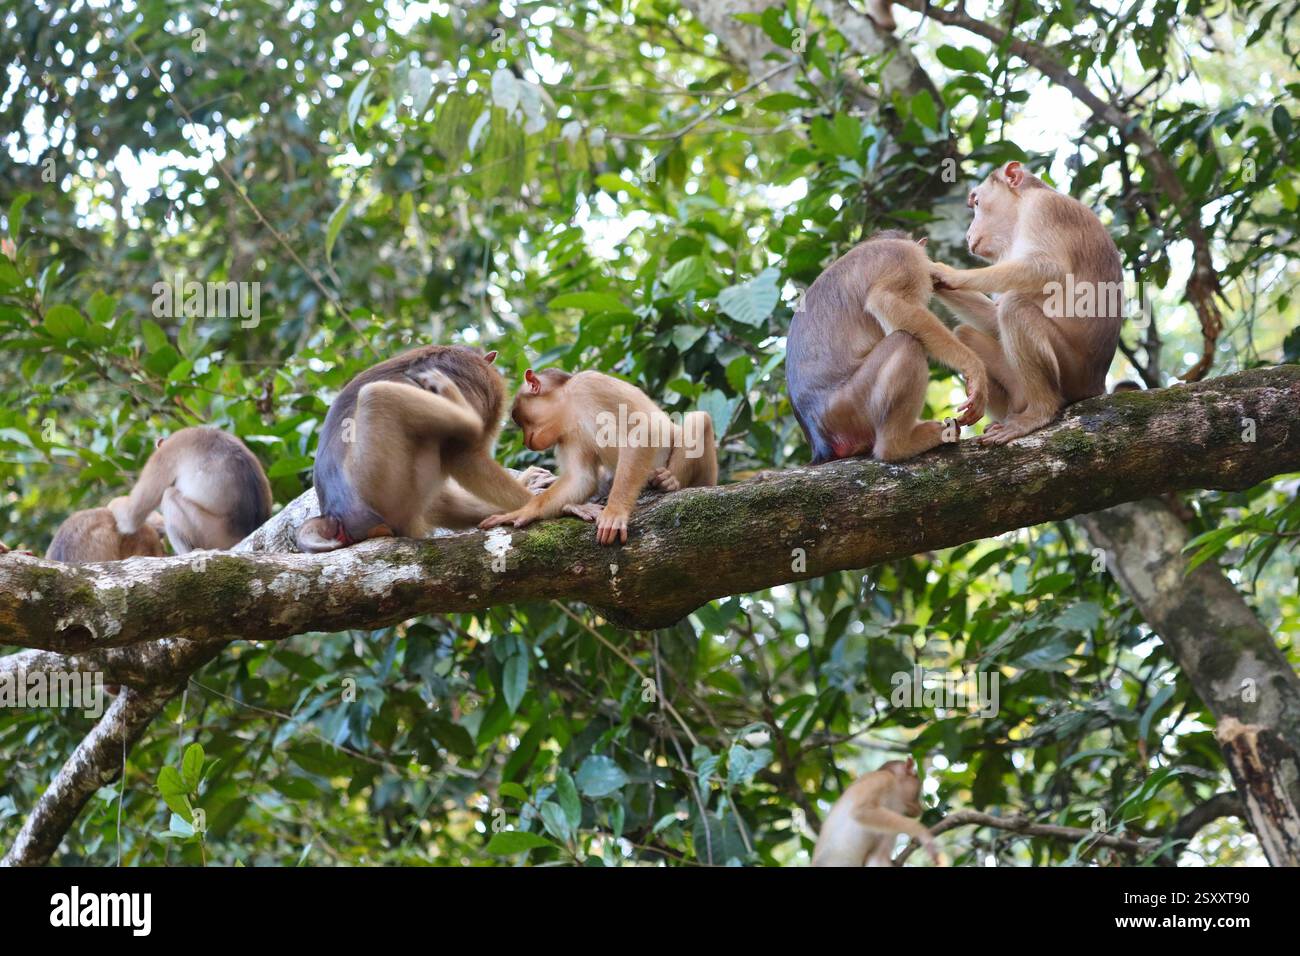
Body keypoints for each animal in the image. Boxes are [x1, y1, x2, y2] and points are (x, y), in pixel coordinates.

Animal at [295, 345, 546, 552]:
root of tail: (335, 516)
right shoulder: (477, 379)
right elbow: (461, 455)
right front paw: (532, 505)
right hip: (381, 491)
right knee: (377, 396)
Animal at [479, 368, 718, 545]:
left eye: (518, 419)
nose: (525, 441)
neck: (571, 405)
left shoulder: (590, 386)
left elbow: (642, 430)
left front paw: (615, 512)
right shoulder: (568, 435)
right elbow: (581, 478)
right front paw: (526, 510)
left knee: (699, 419)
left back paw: (669, 482)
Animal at [786, 230, 988, 464]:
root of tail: (819, 440)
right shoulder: (904, 258)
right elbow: (886, 301)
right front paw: (973, 368)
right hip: (850, 407)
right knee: (906, 341)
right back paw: (897, 446)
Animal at [811, 757, 945, 867]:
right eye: (918, 792)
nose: (920, 808)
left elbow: (877, 858)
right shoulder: (883, 779)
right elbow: (861, 811)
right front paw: (921, 832)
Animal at [929, 158, 1124, 445]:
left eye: (977, 203)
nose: (968, 235)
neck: (1021, 207)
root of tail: (1097, 384)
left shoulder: (1044, 209)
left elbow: (1047, 268)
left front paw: (948, 273)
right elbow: (992, 319)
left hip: (1073, 372)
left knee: (1015, 307)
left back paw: (1039, 412)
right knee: (967, 332)